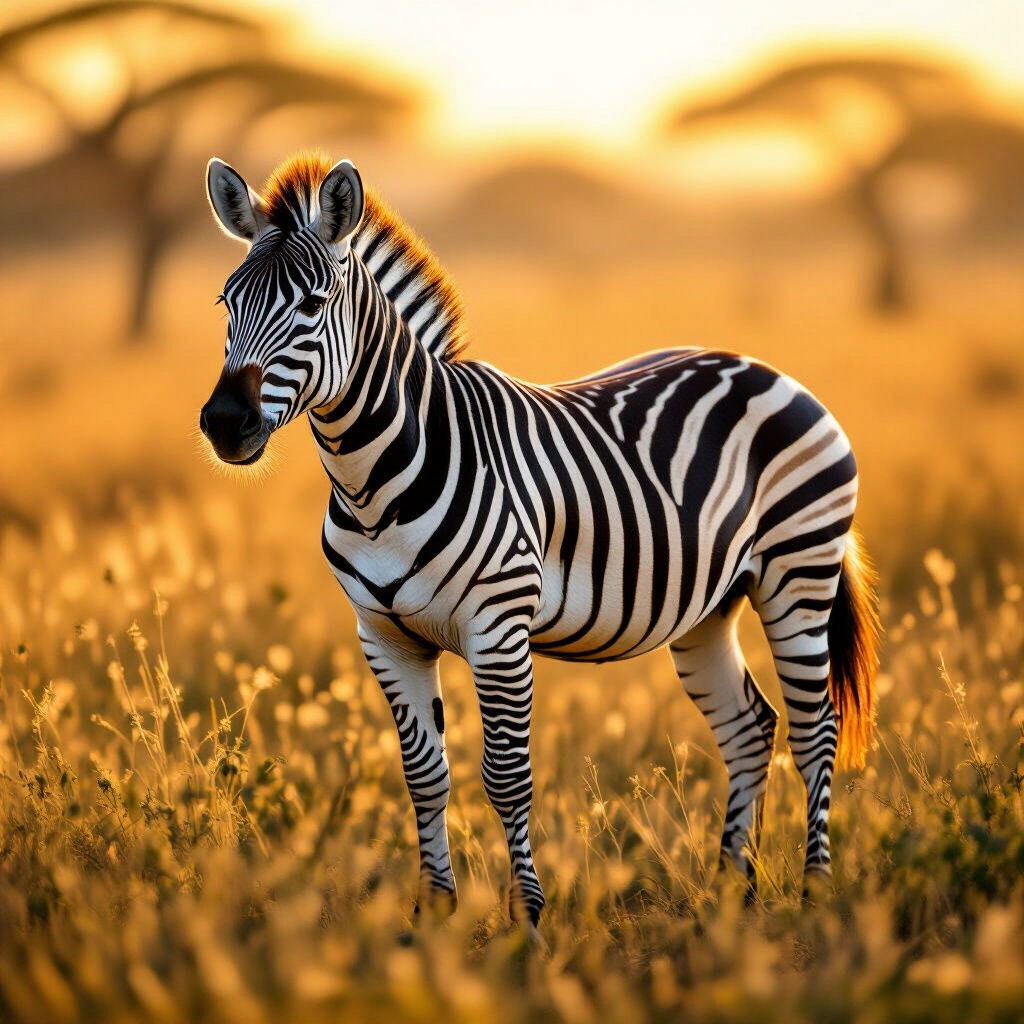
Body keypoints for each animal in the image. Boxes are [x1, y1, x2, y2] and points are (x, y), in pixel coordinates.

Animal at [200, 151, 880, 931]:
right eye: (226, 303)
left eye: (311, 305)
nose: (224, 423)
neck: (373, 485)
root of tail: (766, 369)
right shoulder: (384, 635)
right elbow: (424, 775)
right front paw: (435, 911)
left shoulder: (499, 629)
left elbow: (506, 777)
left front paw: (528, 917)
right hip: (708, 608)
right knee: (749, 727)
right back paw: (731, 892)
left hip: (799, 573)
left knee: (815, 729)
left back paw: (814, 892)